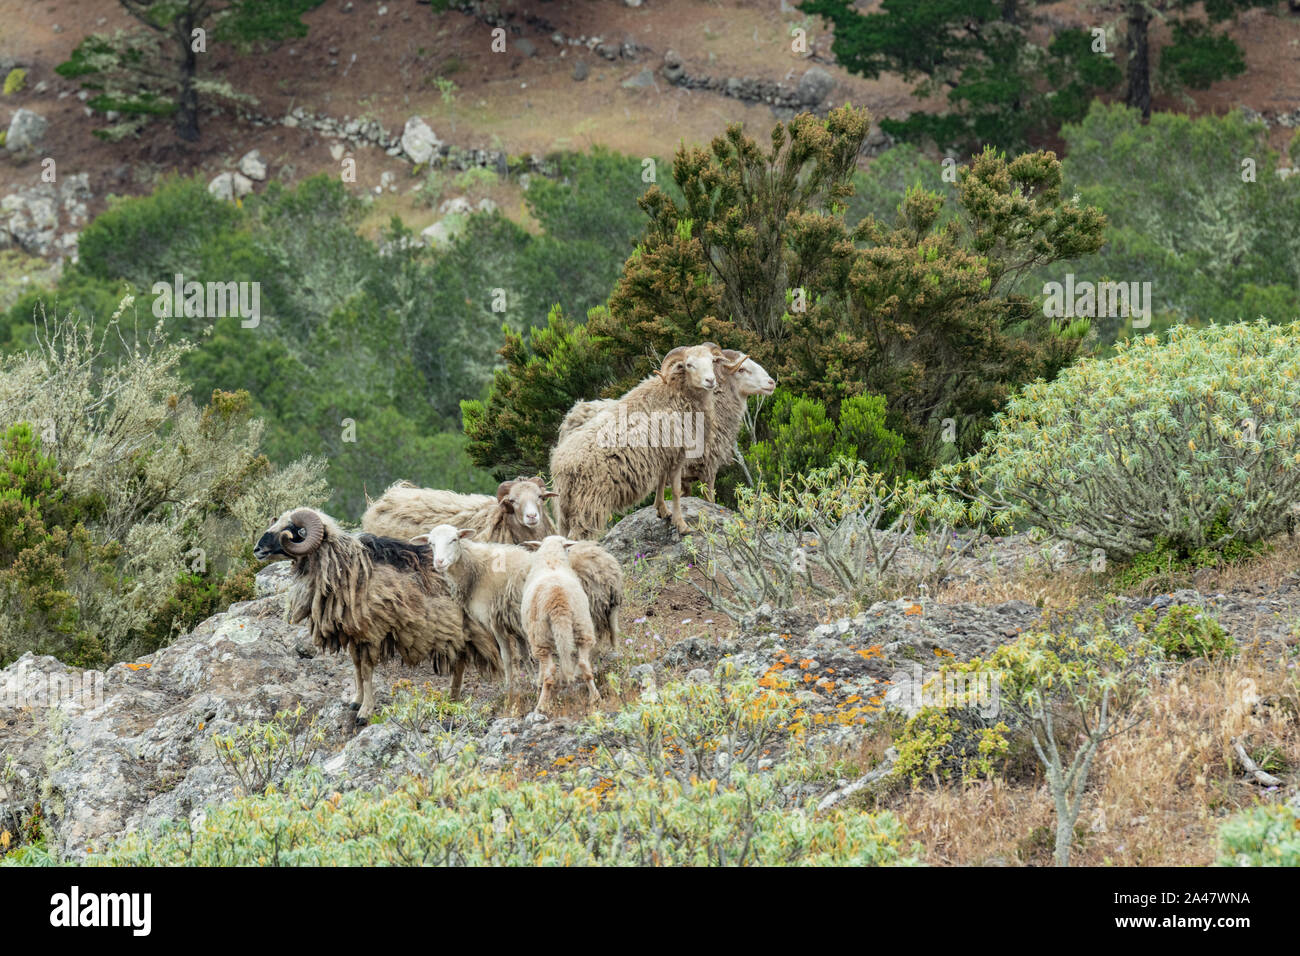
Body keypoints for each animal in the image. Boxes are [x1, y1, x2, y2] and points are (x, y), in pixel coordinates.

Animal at [253, 508, 500, 724]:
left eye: (290, 528)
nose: (257, 549)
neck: (344, 567)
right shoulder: (354, 634)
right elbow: (356, 668)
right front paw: (356, 701)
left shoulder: (372, 632)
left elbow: (366, 671)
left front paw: (365, 711)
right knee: (460, 662)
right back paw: (452, 698)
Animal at [519, 535, 600, 713]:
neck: (552, 561)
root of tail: (558, 598)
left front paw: (538, 682)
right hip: (582, 625)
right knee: (583, 664)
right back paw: (594, 697)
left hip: (539, 635)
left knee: (549, 672)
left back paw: (542, 705)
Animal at [550, 343, 722, 539]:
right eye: (689, 365)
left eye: (712, 360)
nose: (710, 381)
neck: (674, 392)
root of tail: (562, 464)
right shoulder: (677, 454)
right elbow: (676, 491)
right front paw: (682, 525)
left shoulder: (663, 455)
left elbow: (661, 482)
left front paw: (662, 510)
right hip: (589, 502)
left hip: (564, 506)